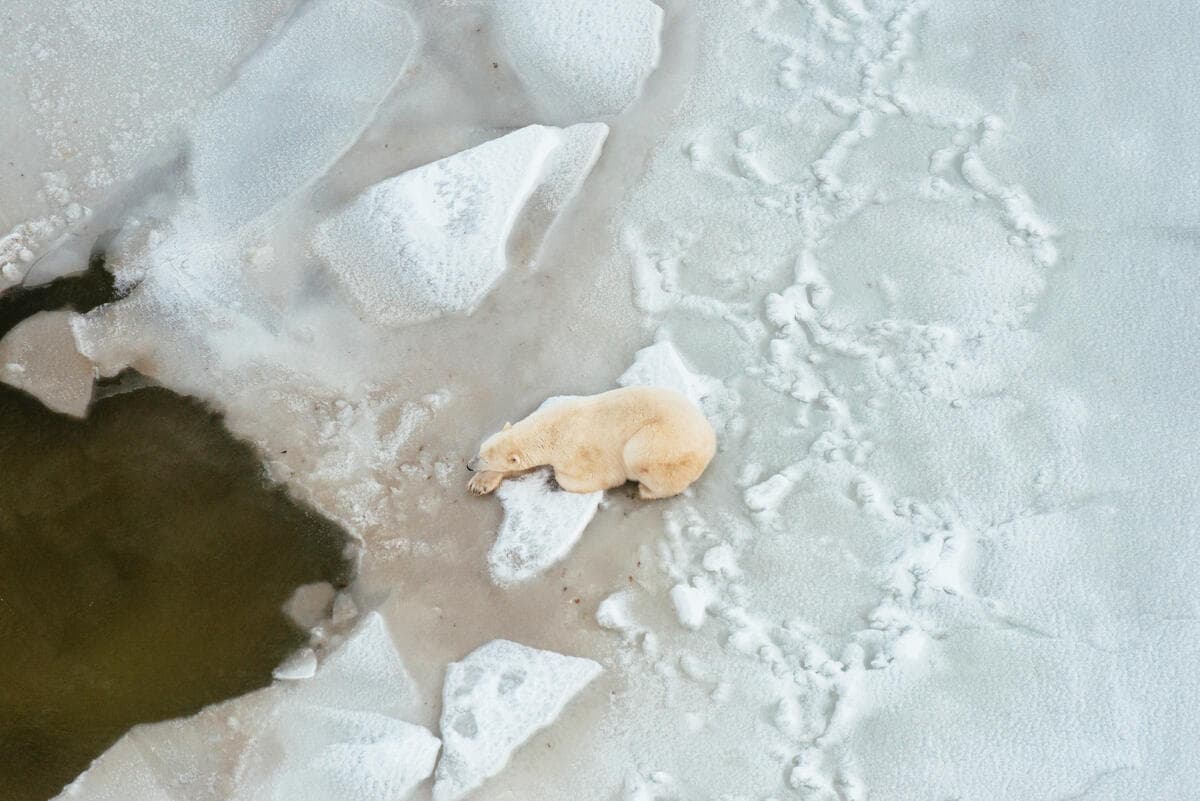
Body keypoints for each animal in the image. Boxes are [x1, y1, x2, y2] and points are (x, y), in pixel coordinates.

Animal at [467, 386, 716, 499]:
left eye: (484, 459)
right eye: (479, 451)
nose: (469, 465)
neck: (552, 428)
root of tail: (710, 440)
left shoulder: (577, 450)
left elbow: (597, 477)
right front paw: (478, 484)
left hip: (663, 441)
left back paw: (646, 490)